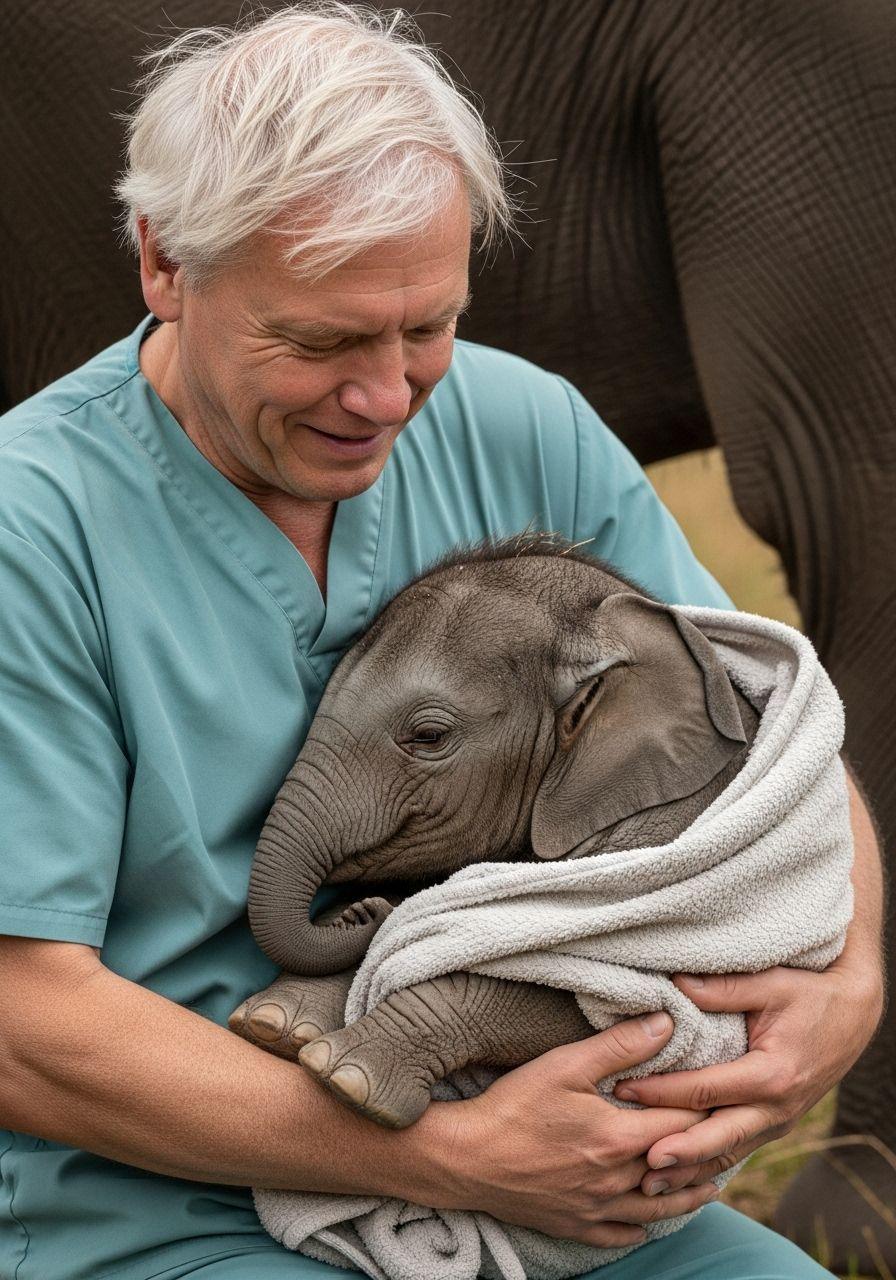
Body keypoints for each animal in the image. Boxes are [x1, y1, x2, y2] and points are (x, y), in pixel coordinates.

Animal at [228, 537, 760, 1130]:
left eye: (428, 736)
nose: (361, 909)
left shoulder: (663, 852)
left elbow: (584, 997)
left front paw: (348, 1079)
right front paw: (273, 1026)